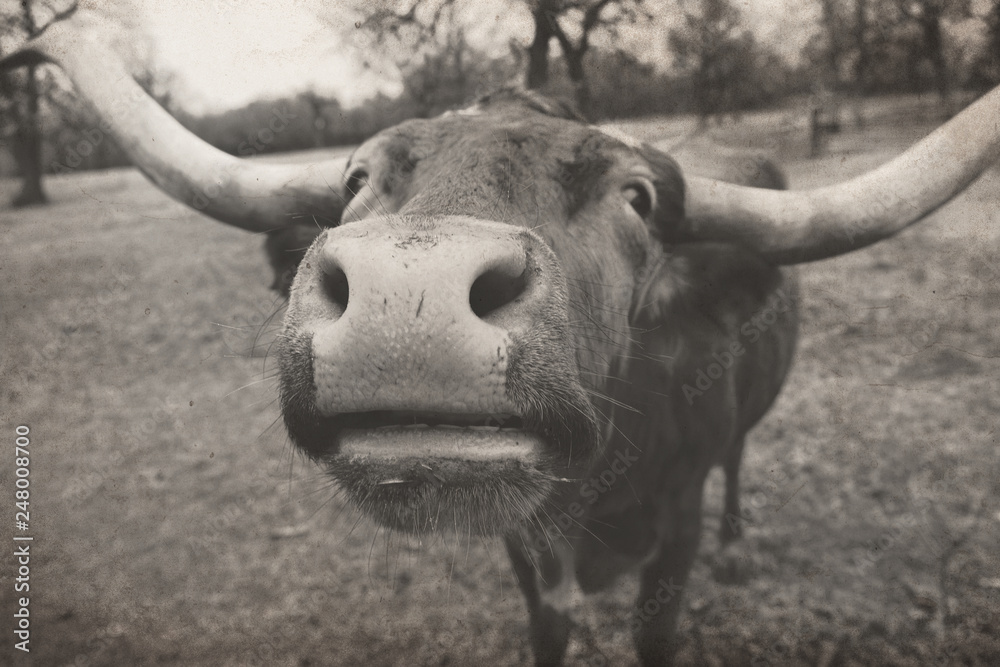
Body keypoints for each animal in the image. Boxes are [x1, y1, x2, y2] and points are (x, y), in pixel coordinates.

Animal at [4, 15, 998, 666]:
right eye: (357, 177)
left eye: (638, 198)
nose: (411, 294)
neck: (597, 500)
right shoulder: (528, 543)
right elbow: (547, 622)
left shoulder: (670, 529)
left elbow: (657, 626)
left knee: (741, 460)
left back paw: (739, 530)